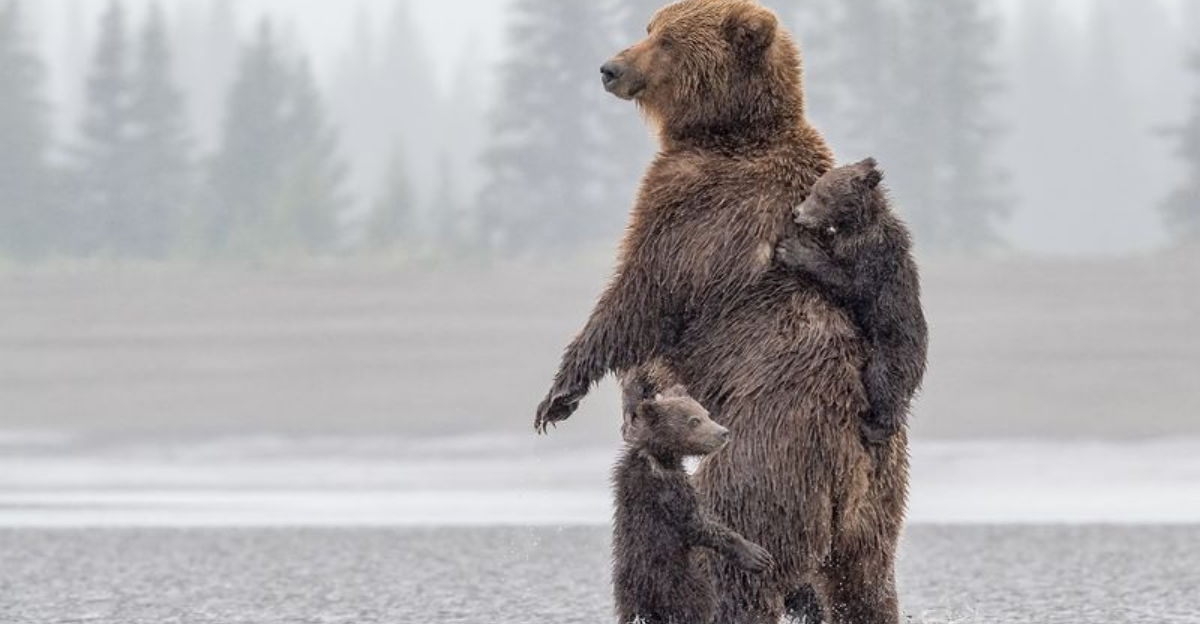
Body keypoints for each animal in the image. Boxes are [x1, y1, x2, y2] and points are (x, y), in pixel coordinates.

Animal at [613, 385, 774, 624]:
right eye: (694, 420)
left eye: (706, 413)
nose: (723, 433)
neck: (660, 458)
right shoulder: (665, 491)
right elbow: (697, 524)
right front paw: (757, 555)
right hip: (675, 582)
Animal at [776, 158, 929, 445]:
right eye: (813, 189)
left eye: (822, 195)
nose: (796, 212)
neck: (856, 225)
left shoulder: (873, 256)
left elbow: (852, 285)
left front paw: (793, 250)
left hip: (892, 350)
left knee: (883, 384)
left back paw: (874, 427)